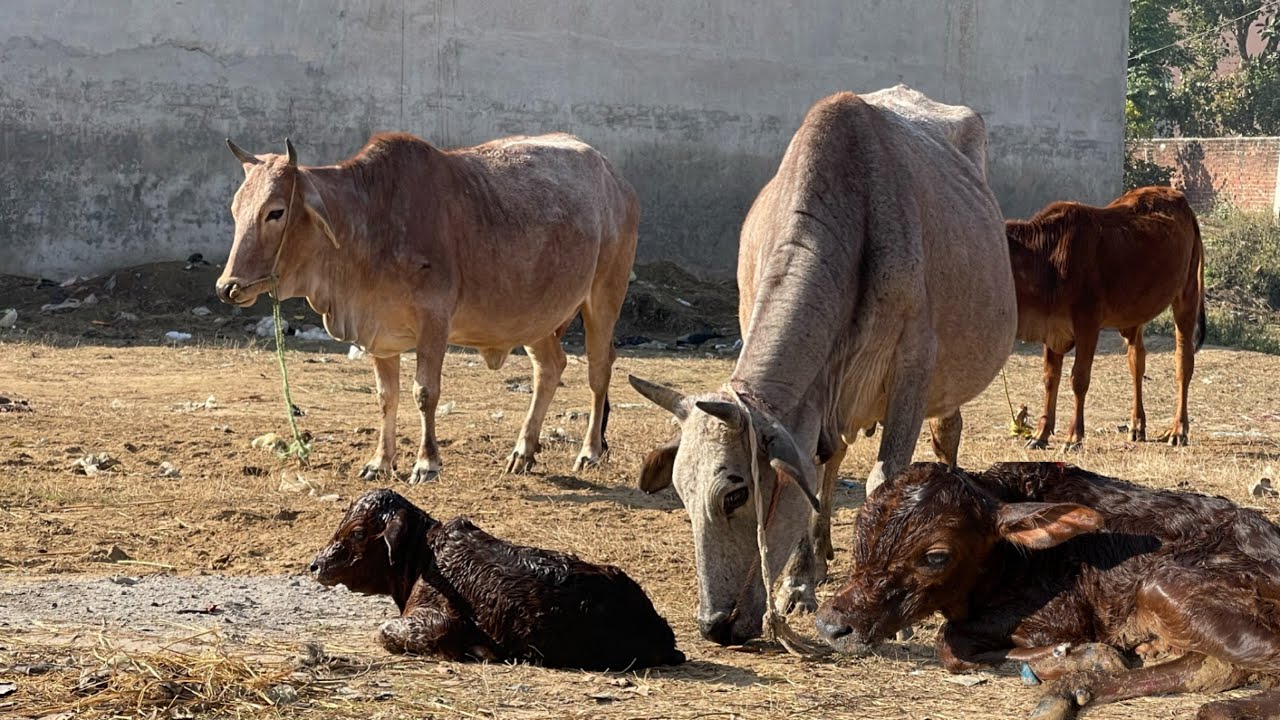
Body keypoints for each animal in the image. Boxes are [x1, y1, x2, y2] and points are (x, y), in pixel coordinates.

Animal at [216, 133, 638, 482]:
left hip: (604, 296)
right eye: (235, 209)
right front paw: (380, 462)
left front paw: (426, 463)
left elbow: (425, 393)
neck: (371, 220)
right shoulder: (379, 333)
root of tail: (613, 174)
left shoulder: (434, 321)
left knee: (598, 371)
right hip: (535, 318)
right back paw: (524, 451)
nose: (227, 287)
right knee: (550, 368)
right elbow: (387, 397)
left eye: (275, 212)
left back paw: (589, 451)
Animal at [311, 489, 684, 670]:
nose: (315, 565)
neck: (424, 558)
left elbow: (386, 631)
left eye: (358, 532)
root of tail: (659, 630)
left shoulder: (441, 621)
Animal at [628, 85, 1017, 646]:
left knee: (947, 432)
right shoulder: (812, 398)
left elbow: (886, 480)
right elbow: (813, 469)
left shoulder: (913, 364)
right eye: (681, 492)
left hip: (948, 380)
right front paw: (797, 585)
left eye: (735, 494)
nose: (712, 624)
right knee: (833, 460)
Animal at [816, 462, 1280, 720]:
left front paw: (1081, 654)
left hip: (1162, 583)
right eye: (859, 535)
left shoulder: (1060, 615)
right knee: (1211, 667)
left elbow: (948, 642)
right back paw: (1070, 693)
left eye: (935, 556)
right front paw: (1088, 660)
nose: (832, 625)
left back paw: (1225, 711)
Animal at [1007, 186, 1205, 451]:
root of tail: (1182, 201)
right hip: (1135, 314)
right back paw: (1136, 426)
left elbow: (1079, 379)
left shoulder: (1088, 323)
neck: (1047, 258)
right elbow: (1050, 378)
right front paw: (1041, 434)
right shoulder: (1052, 328)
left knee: (1183, 361)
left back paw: (1179, 430)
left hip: (1187, 294)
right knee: (1137, 361)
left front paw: (1074, 437)